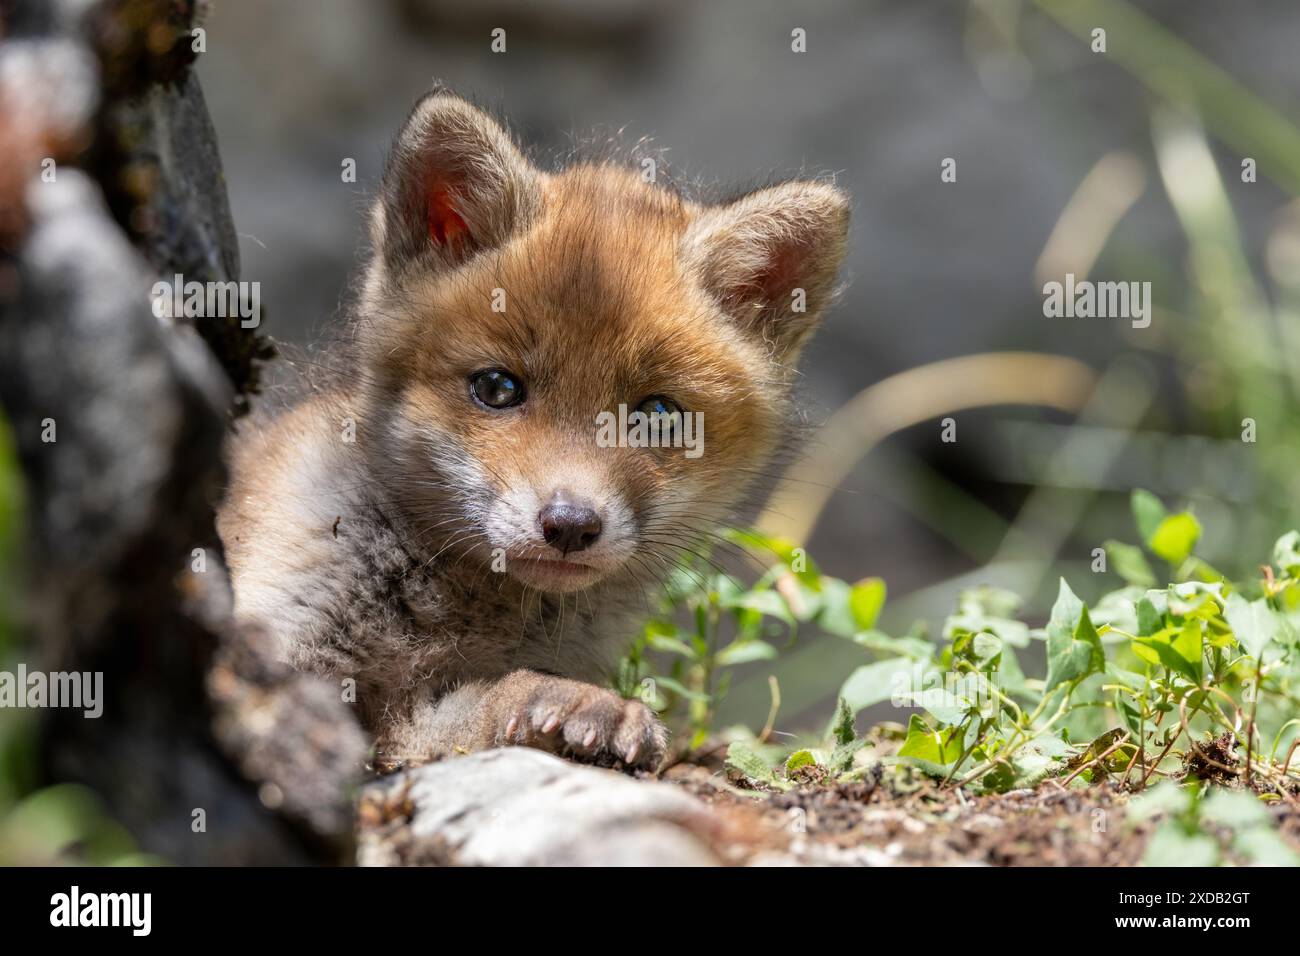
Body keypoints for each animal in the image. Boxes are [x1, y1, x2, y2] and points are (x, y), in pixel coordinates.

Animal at [217, 89, 849, 773]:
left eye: (658, 415)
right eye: (497, 389)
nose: (570, 526)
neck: (447, 607)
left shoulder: (413, 717)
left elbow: (472, 713)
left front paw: (576, 706)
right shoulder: (281, 638)